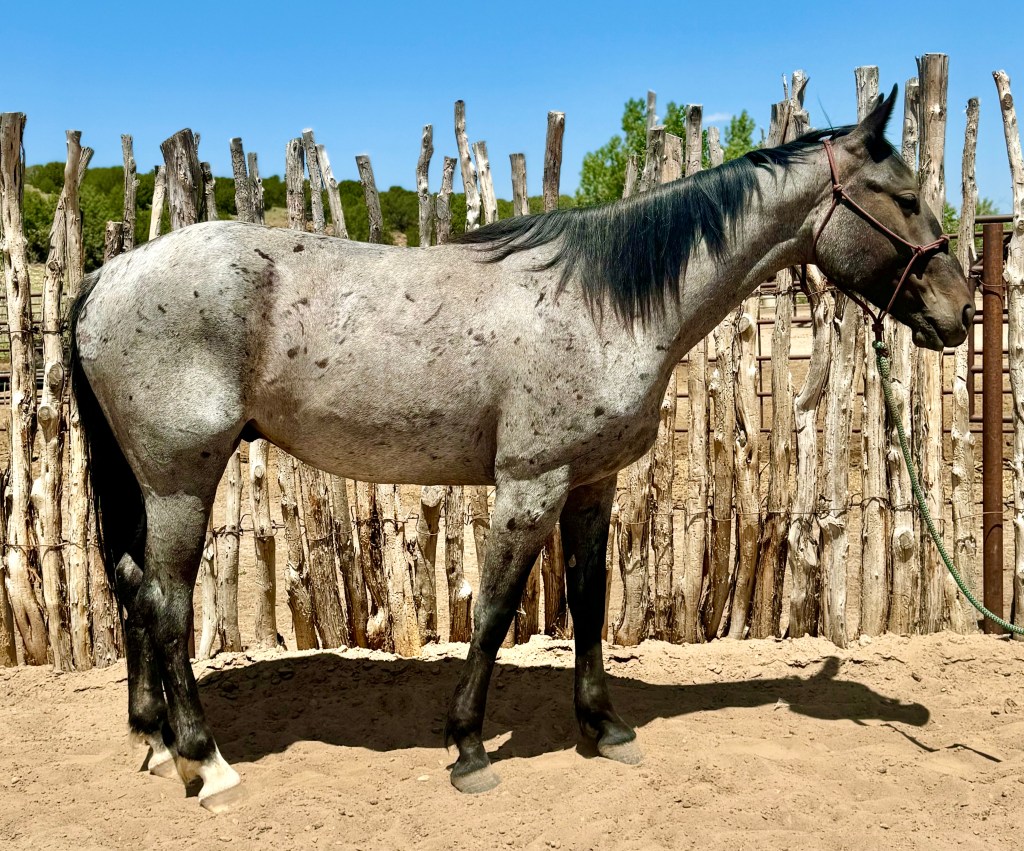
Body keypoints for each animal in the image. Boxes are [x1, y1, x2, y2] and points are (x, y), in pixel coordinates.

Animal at [69, 85, 972, 811]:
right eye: (902, 197)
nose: (960, 312)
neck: (606, 304)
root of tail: (109, 276)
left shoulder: (592, 486)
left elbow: (589, 602)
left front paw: (603, 725)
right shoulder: (530, 486)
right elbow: (497, 610)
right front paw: (467, 745)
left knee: (132, 587)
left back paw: (153, 740)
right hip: (181, 481)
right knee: (166, 602)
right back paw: (204, 762)